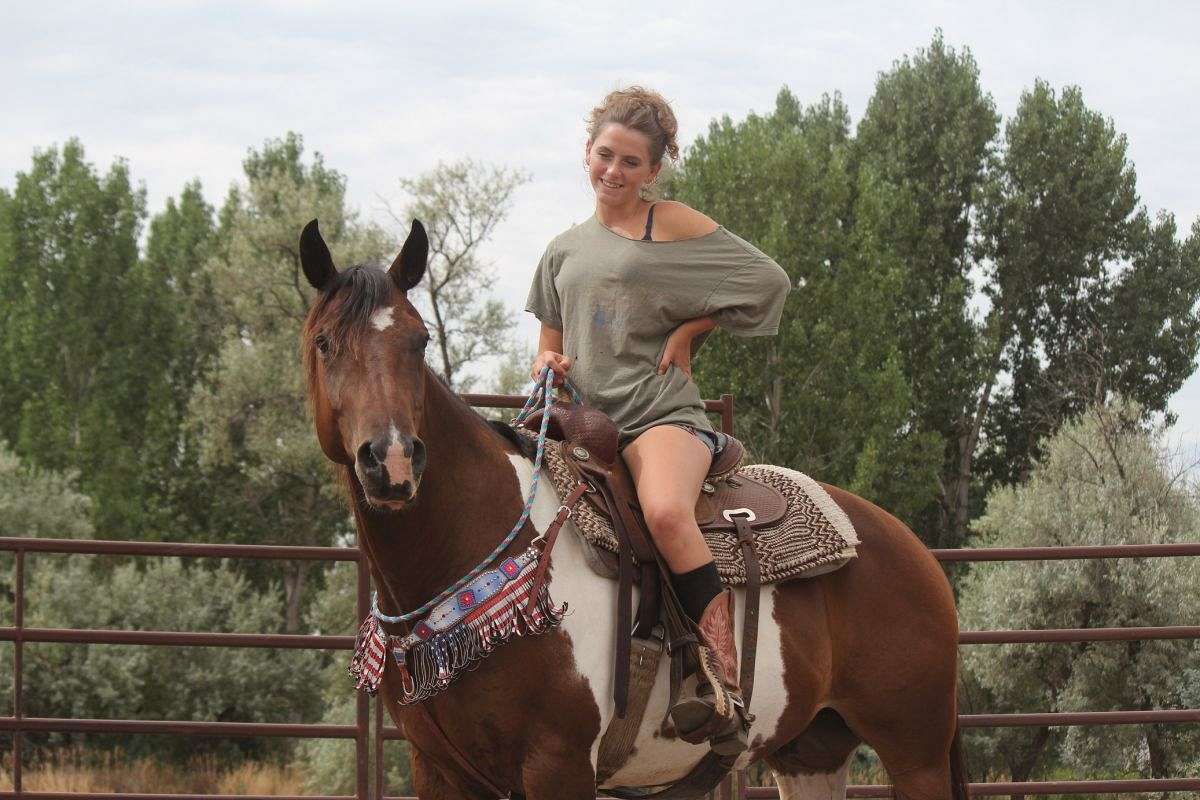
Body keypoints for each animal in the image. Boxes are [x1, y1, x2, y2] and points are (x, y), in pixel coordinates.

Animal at [298, 218, 968, 800]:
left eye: (419, 342)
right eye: (325, 343)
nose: (392, 459)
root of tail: (909, 546)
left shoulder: (559, 764)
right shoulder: (442, 771)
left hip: (916, 751)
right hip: (810, 751)